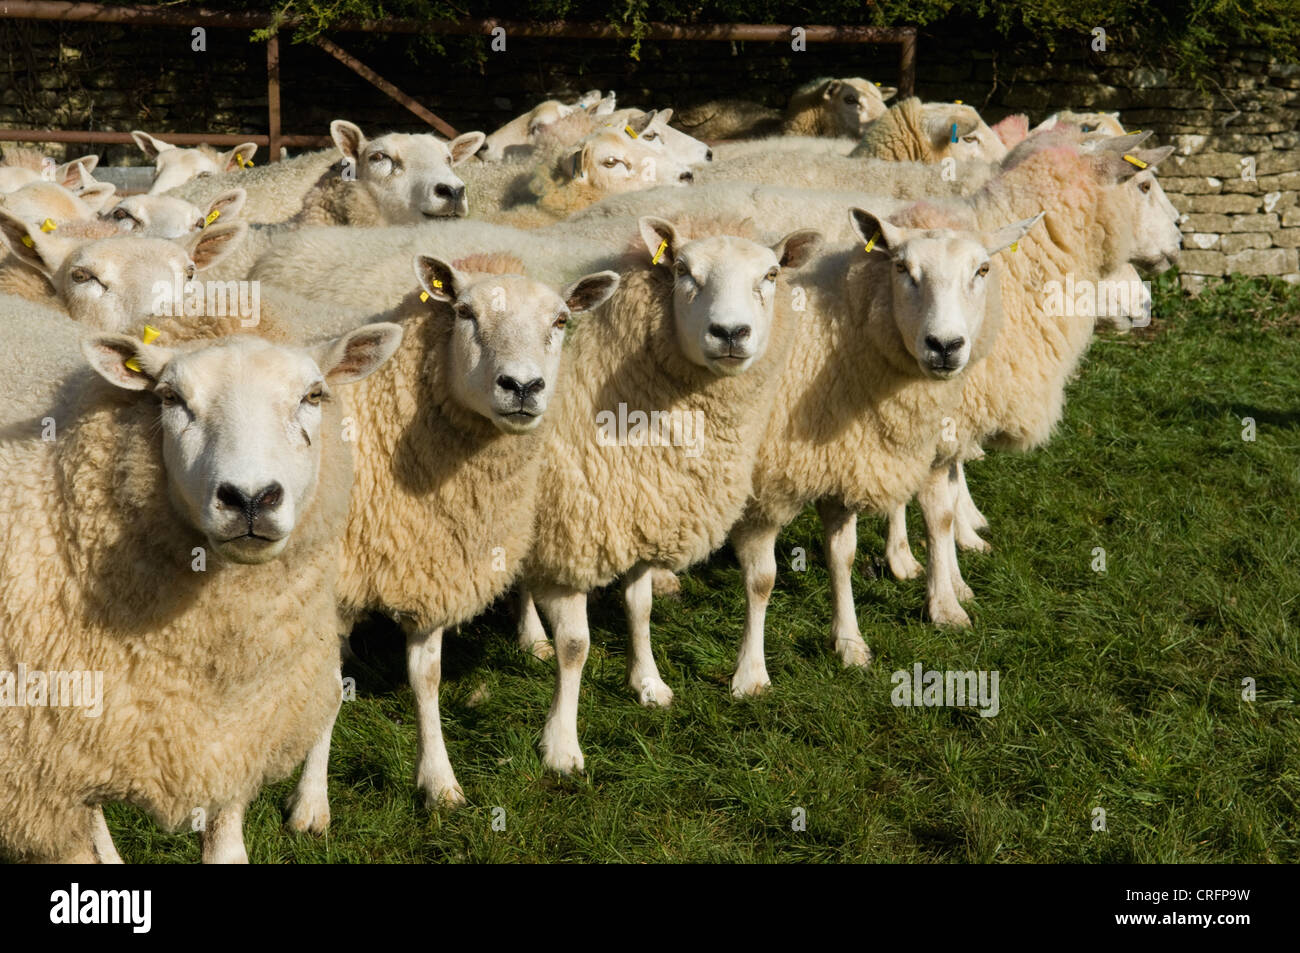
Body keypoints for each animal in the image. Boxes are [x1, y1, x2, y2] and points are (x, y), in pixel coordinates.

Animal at [0, 307, 402, 863]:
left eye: (313, 395)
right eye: (171, 398)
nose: (251, 498)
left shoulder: (232, 743)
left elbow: (226, 848)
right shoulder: (39, 779)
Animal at [278, 254, 621, 823]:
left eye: (560, 321)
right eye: (465, 313)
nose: (522, 386)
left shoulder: (433, 567)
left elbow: (428, 678)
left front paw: (441, 780)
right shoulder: (335, 589)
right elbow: (323, 691)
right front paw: (309, 803)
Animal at [518, 215, 822, 772]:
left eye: (770, 274)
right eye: (683, 270)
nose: (730, 332)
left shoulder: (642, 510)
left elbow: (640, 607)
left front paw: (649, 683)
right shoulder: (571, 529)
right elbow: (575, 646)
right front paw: (560, 747)